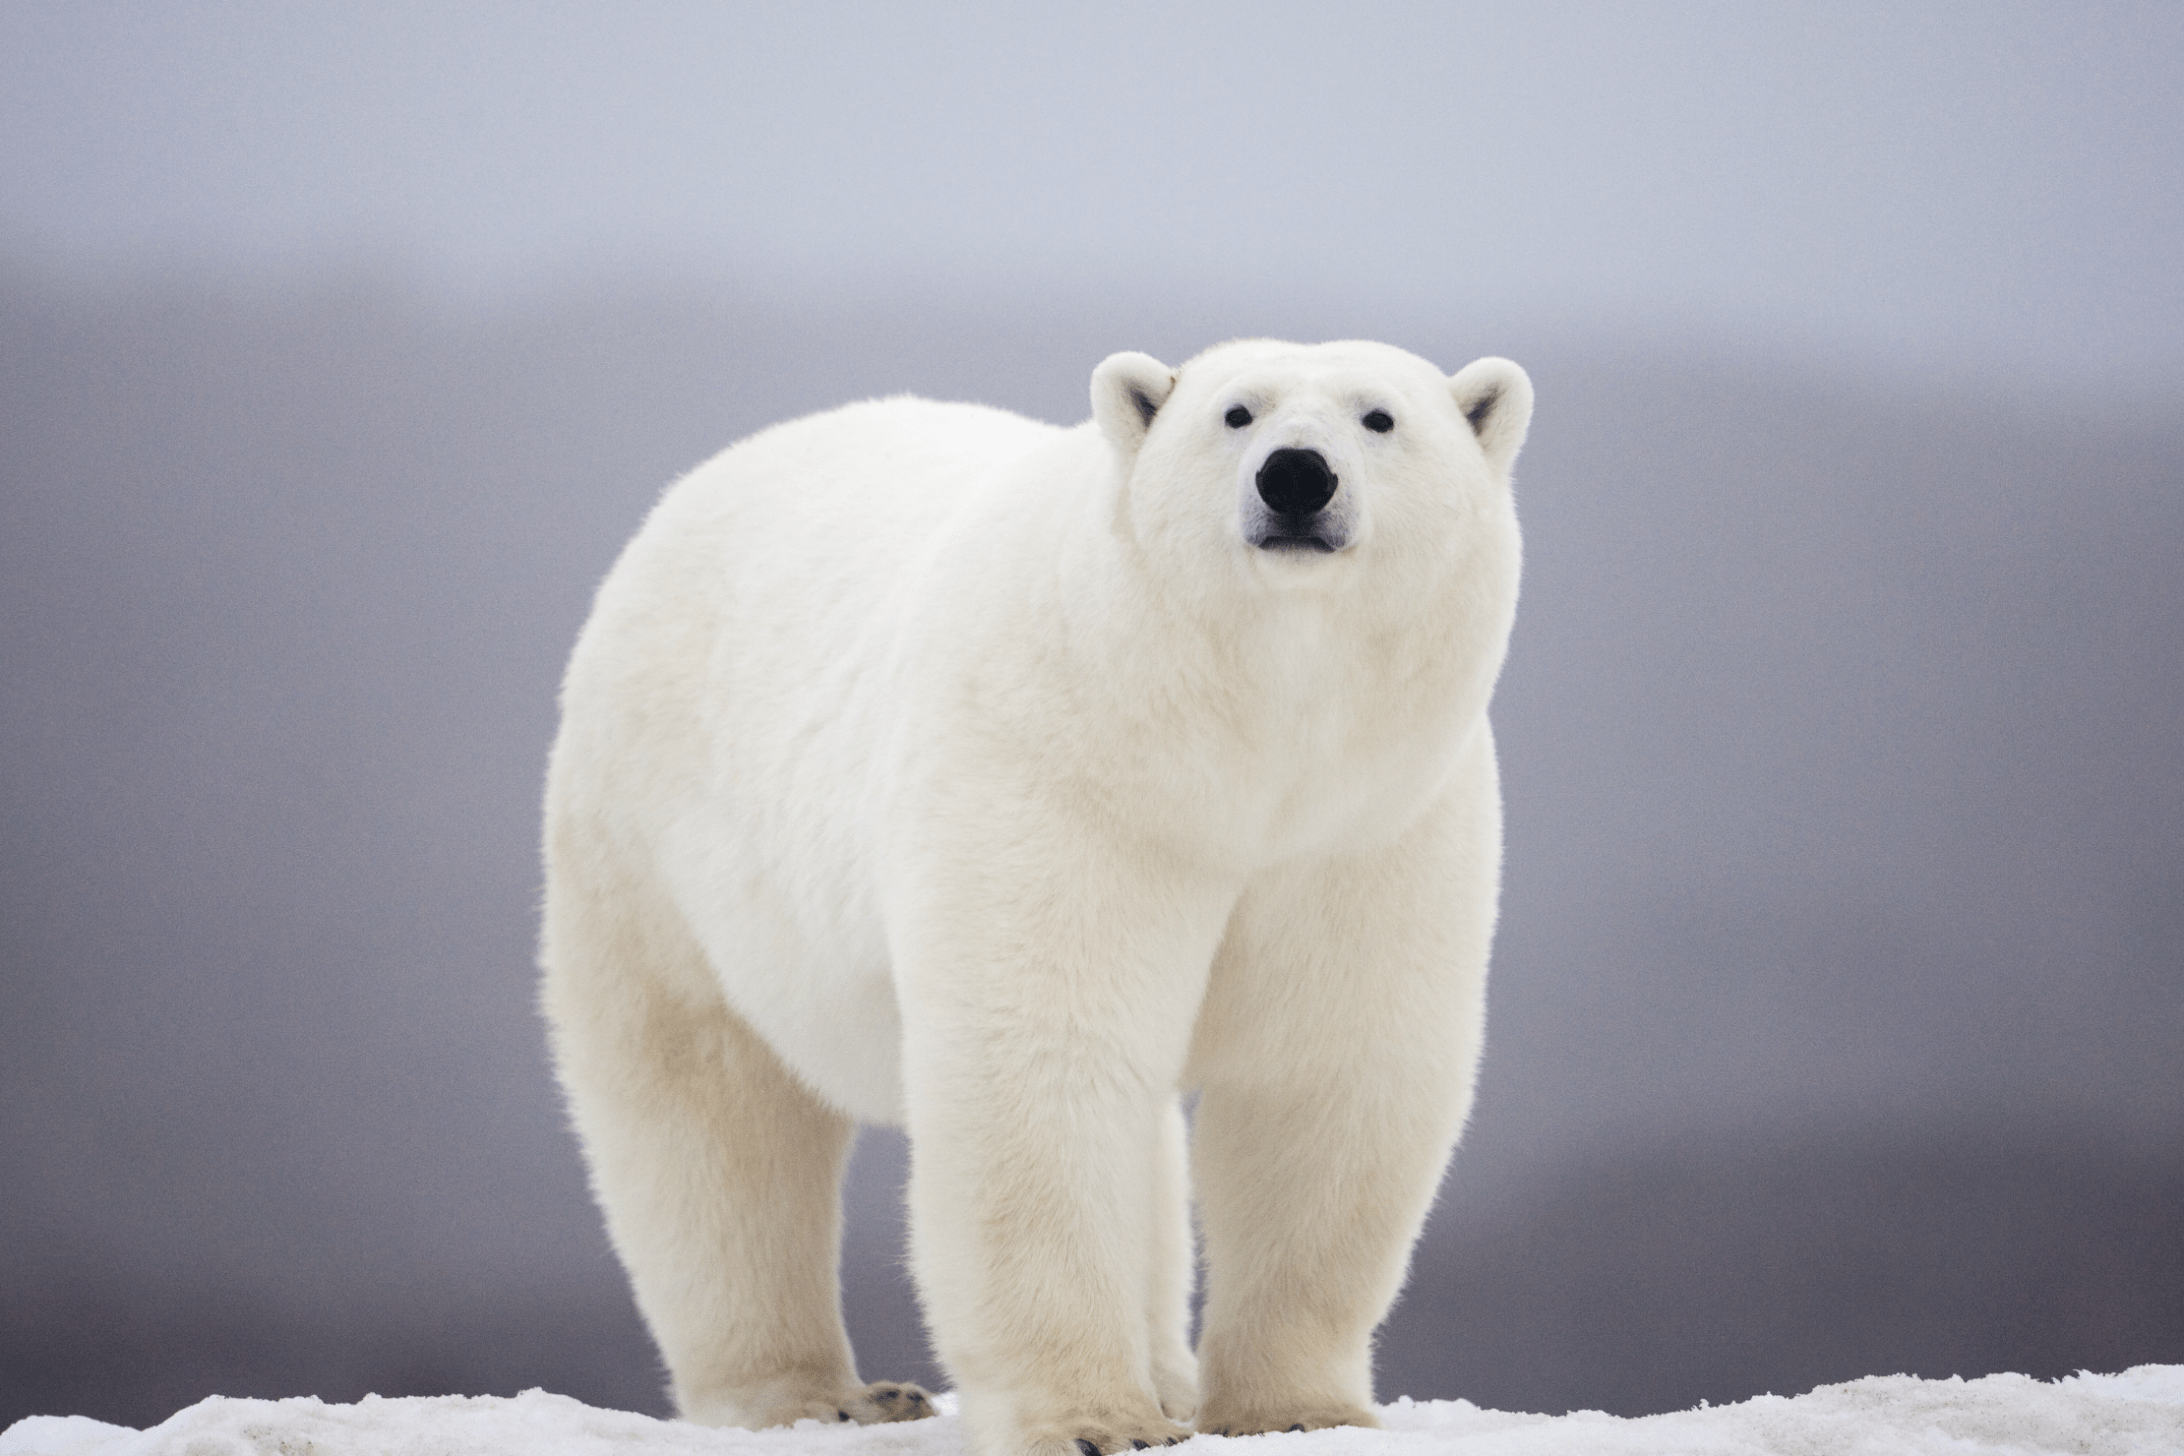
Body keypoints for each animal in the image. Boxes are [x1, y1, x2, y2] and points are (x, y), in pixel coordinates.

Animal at [538, 338, 1531, 1456]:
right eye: (1236, 413)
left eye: (1379, 417)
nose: (1295, 477)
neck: (1240, 753)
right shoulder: (1062, 768)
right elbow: (1048, 1058)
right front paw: (1096, 1420)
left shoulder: (1368, 826)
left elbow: (1322, 1072)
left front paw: (1295, 1411)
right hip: (658, 834)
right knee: (707, 1100)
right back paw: (813, 1392)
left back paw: (1165, 1375)